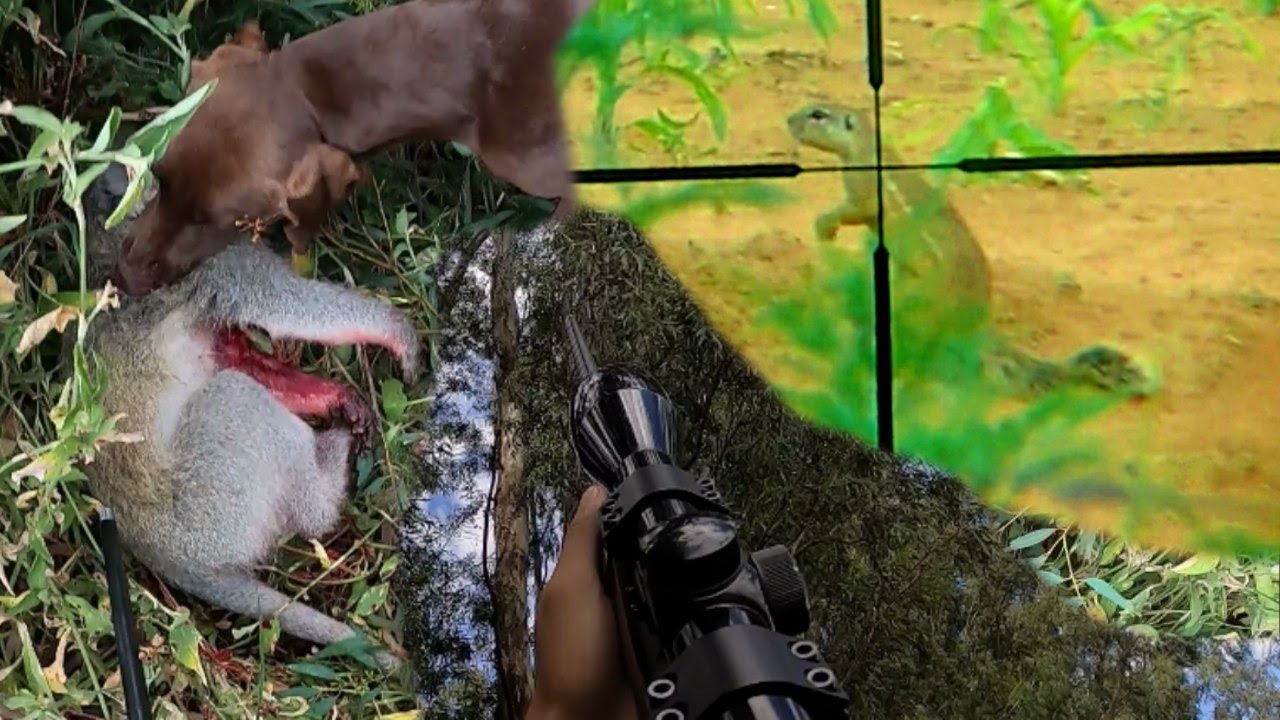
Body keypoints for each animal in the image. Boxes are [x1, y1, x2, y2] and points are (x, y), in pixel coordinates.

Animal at [74, 161, 418, 670]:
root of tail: (164, 555)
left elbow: (236, 355)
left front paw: (334, 397)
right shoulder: (217, 262)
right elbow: (284, 306)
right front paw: (397, 331)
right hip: (211, 510)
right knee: (232, 399)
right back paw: (326, 485)